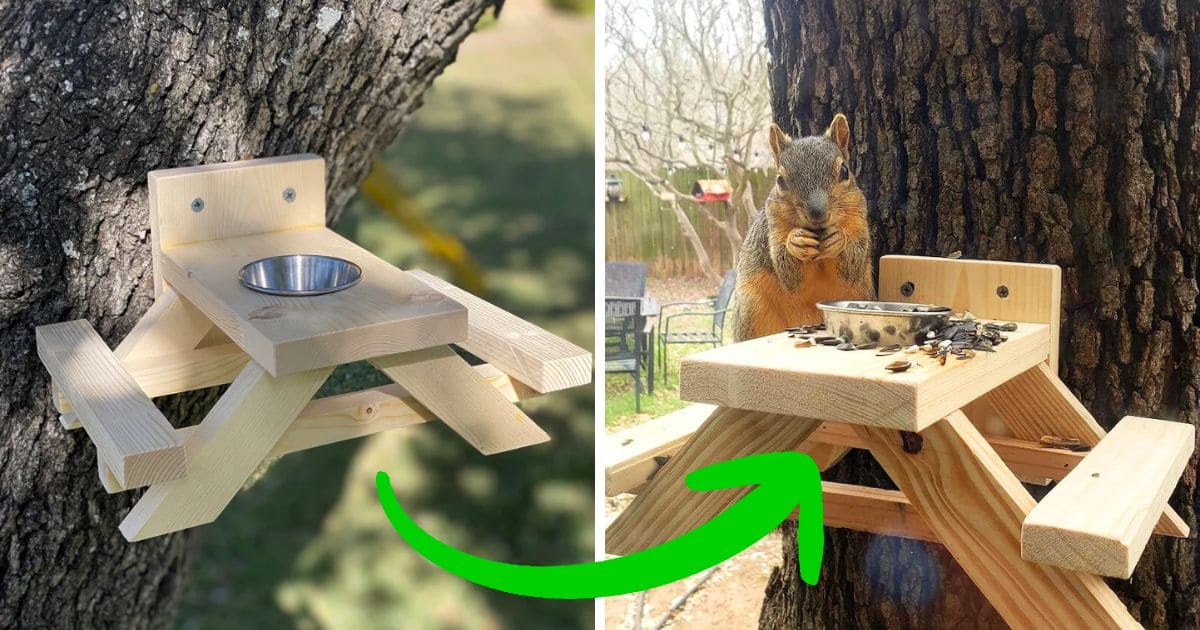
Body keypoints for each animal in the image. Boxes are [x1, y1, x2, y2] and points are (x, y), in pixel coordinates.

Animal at [732, 113, 874, 342]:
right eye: (780, 180)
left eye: (845, 171)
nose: (818, 213)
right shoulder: (774, 225)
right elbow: (789, 274)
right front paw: (796, 242)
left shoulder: (859, 219)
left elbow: (852, 266)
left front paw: (838, 239)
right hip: (751, 311)